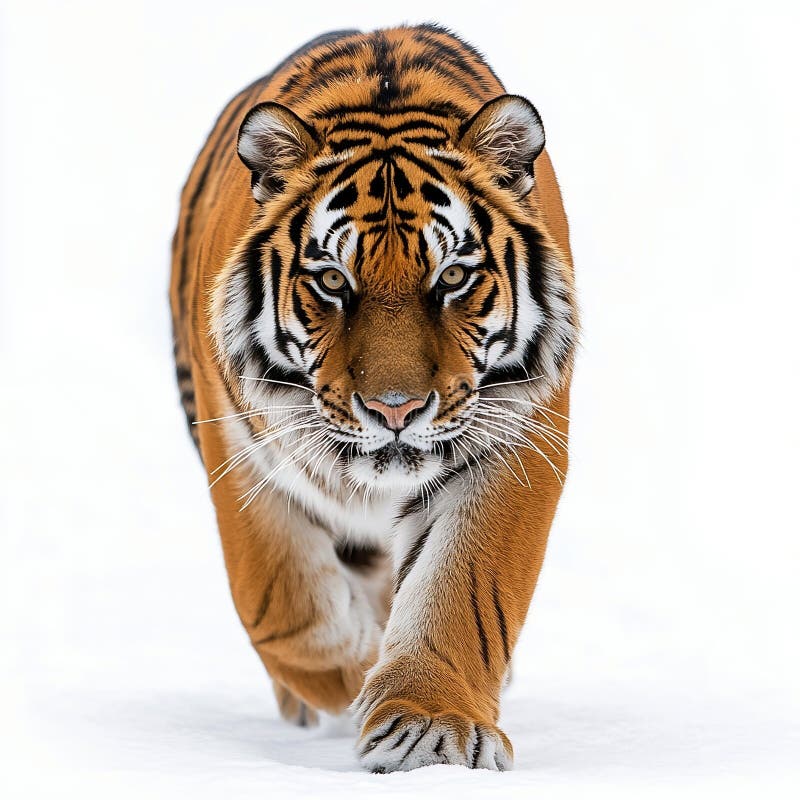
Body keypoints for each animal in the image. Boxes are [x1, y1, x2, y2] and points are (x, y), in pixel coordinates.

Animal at [170, 24, 578, 772]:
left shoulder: (517, 433)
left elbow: (464, 587)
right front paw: (353, 677)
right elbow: (284, 604)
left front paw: (428, 725)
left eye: (452, 277)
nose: (395, 410)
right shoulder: (236, 445)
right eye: (332, 280)